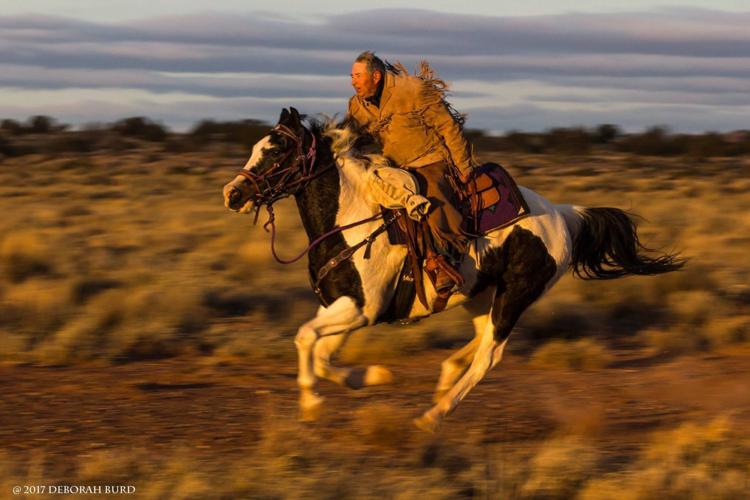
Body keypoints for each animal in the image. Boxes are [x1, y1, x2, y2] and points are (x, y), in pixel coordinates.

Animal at [222, 107, 684, 432]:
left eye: (276, 151)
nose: (233, 194)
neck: (351, 220)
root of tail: (565, 215)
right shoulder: (343, 307)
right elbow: (318, 352)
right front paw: (363, 378)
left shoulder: (361, 310)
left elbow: (306, 340)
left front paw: (318, 400)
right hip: (479, 293)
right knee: (480, 337)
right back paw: (444, 378)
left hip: (514, 296)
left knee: (490, 354)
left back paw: (434, 414)